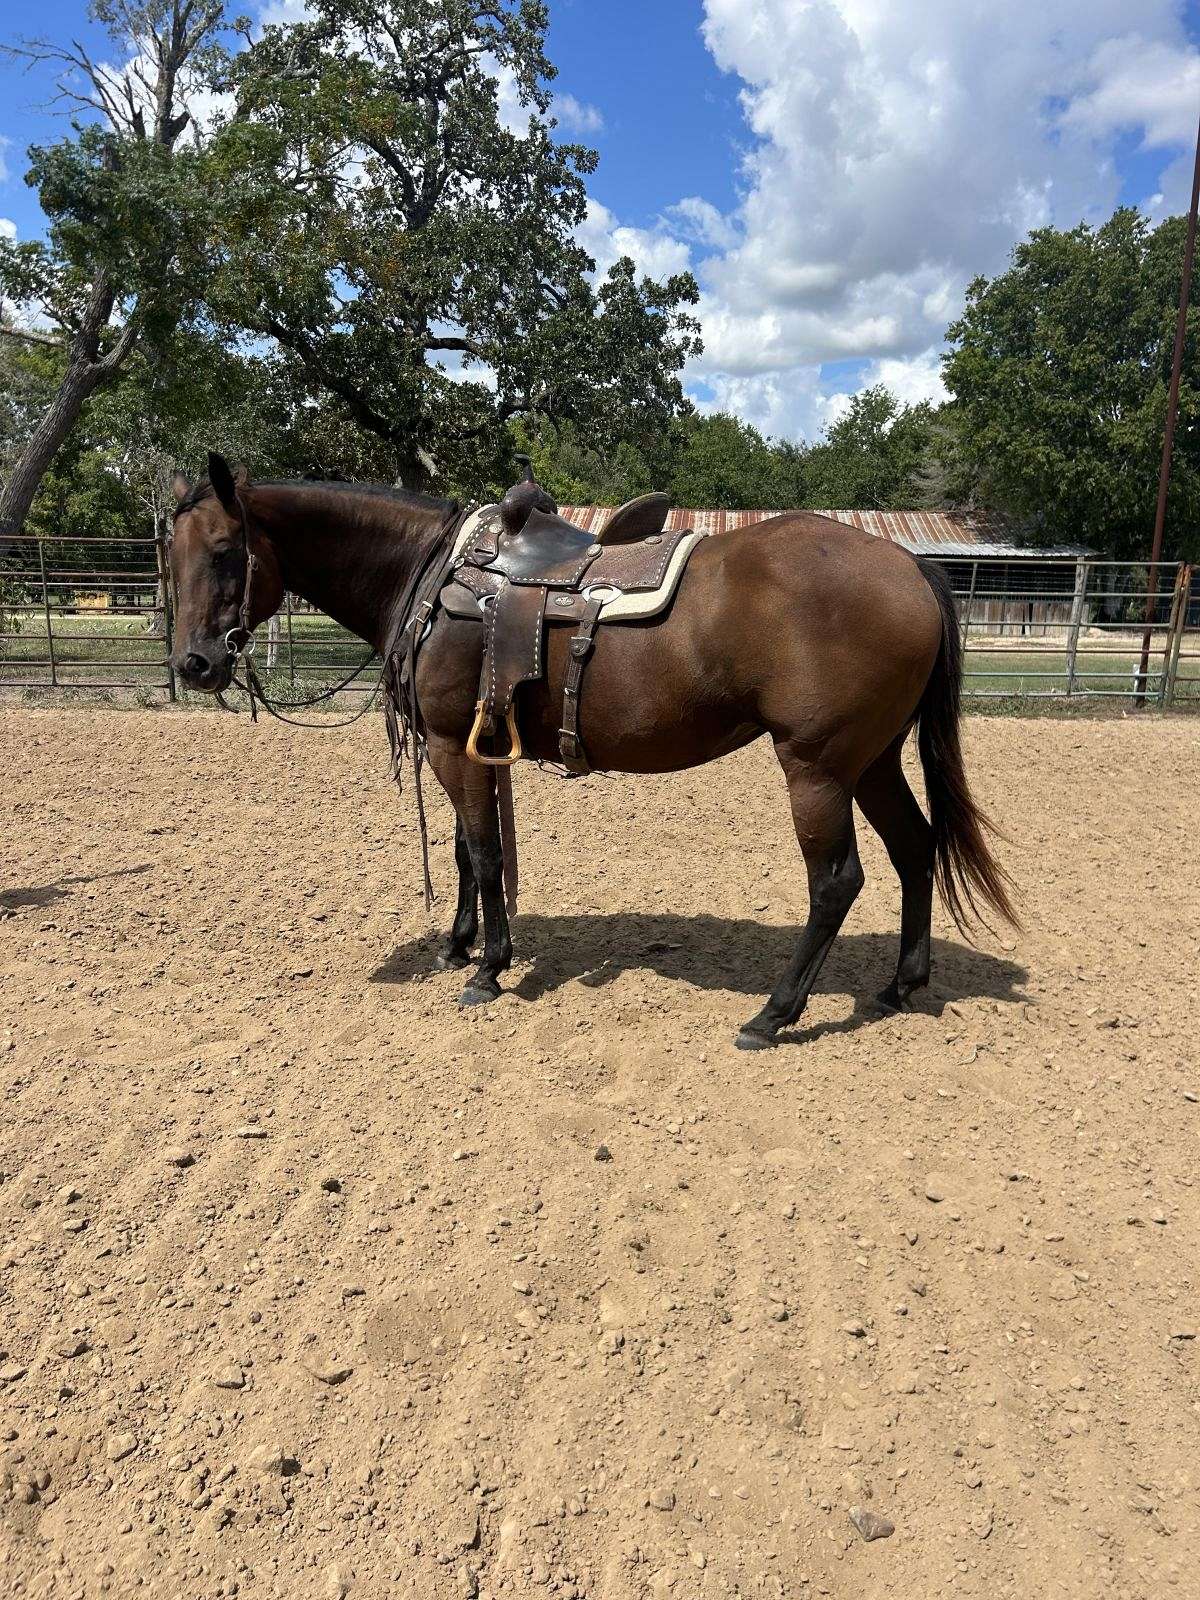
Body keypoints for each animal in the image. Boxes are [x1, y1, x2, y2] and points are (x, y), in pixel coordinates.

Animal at [167, 453, 1016, 1049]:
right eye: (169, 552)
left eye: (225, 548)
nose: (195, 665)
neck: (431, 576)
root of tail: (908, 566)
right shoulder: (473, 746)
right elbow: (465, 849)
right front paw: (458, 945)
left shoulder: (450, 745)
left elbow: (483, 852)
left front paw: (488, 968)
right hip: (871, 761)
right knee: (916, 849)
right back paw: (900, 986)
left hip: (818, 767)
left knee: (837, 881)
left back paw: (774, 1014)